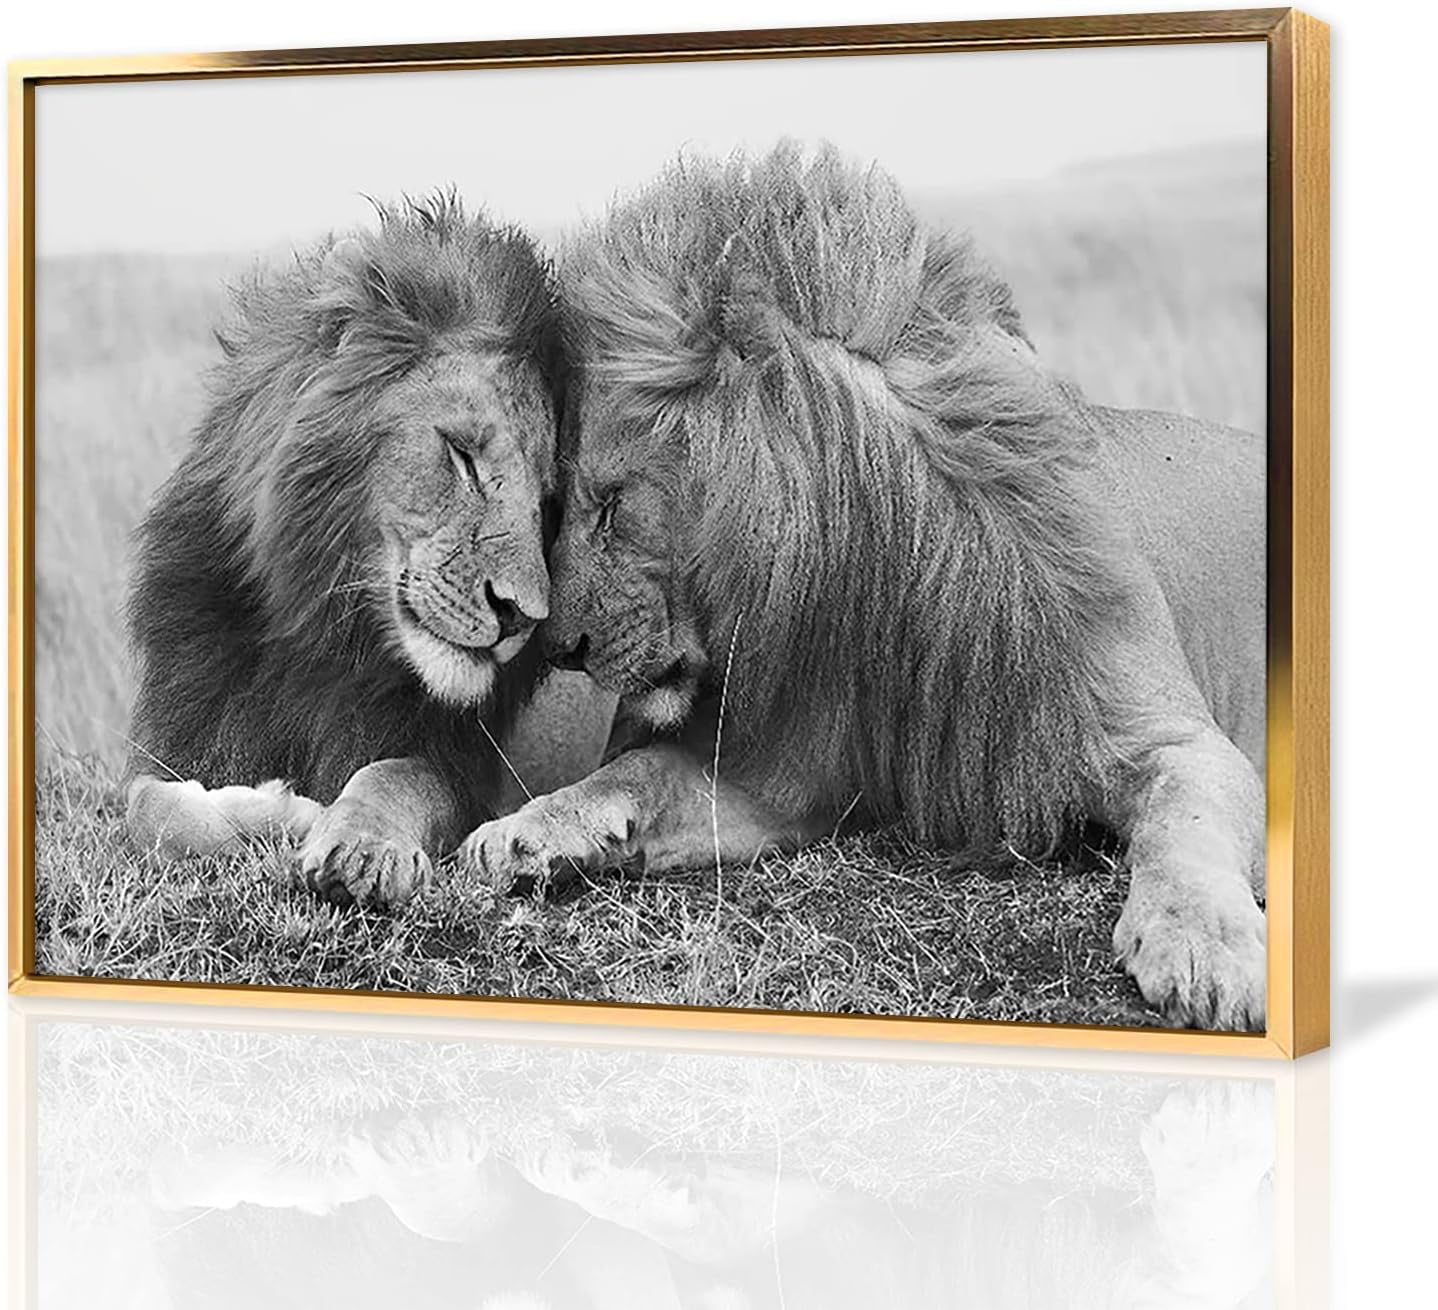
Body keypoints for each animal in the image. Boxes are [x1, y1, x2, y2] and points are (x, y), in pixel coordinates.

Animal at [125, 193, 611, 909]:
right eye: (462, 456)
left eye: (548, 503)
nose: (522, 616)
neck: (322, 634)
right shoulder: (178, 734)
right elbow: (147, 809)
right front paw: (283, 812)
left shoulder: (459, 766)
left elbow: (391, 775)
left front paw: (357, 845)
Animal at [459, 146, 1268, 1032]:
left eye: (611, 502)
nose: (559, 647)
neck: (877, 580)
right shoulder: (790, 777)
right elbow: (637, 773)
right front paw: (528, 831)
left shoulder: (1175, 740)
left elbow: (1184, 828)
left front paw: (1205, 947)